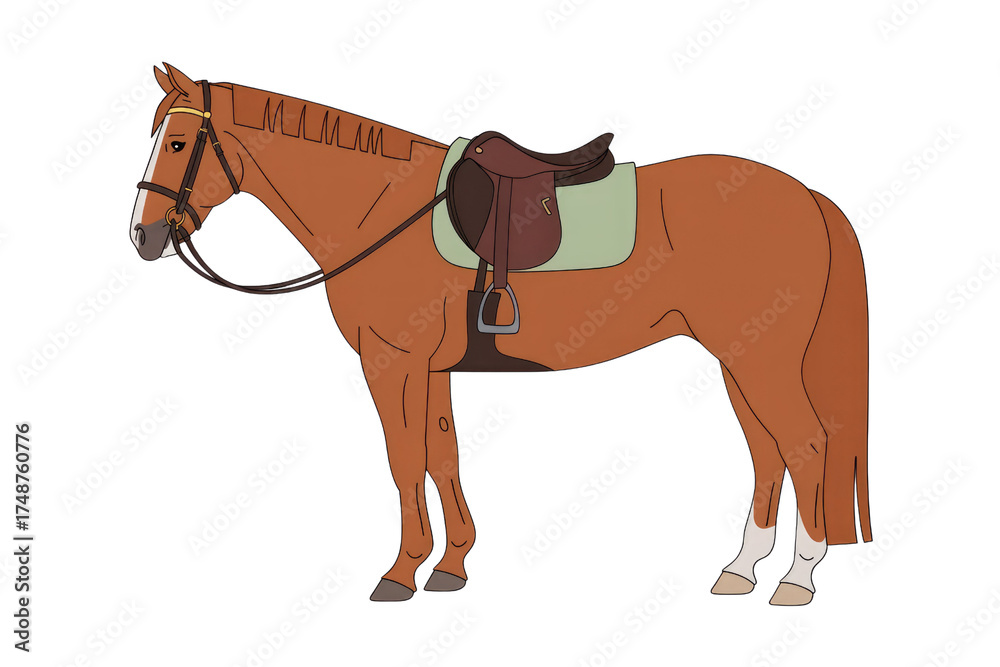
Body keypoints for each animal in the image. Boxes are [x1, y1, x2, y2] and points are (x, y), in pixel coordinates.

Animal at [130, 64, 871, 605]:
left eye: (177, 142)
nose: (144, 236)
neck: (379, 208)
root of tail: (807, 197)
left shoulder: (391, 361)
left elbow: (405, 460)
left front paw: (399, 574)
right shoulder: (430, 368)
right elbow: (443, 455)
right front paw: (451, 566)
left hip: (761, 358)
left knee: (805, 445)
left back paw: (796, 580)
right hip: (741, 356)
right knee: (768, 451)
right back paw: (741, 569)